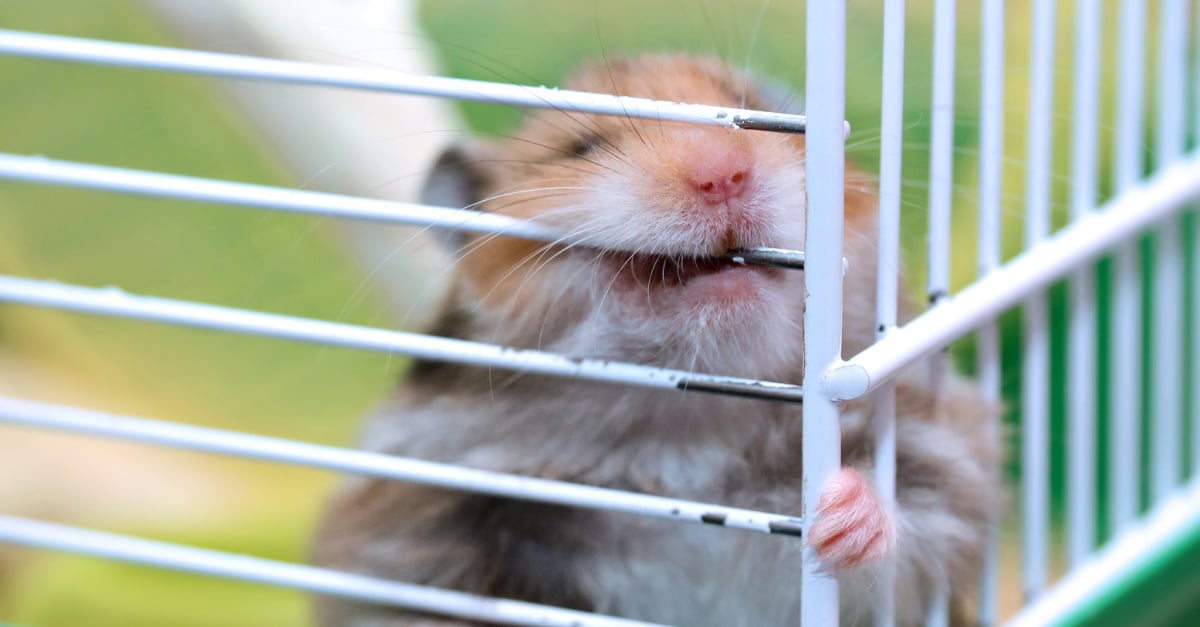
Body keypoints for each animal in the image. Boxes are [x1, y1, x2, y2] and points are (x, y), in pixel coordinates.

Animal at [313, 55, 999, 627]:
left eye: (754, 110)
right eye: (583, 148)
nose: (724, 174)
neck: (687, 430)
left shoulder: (943, 464)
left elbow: (913, 529)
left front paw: (834, 515)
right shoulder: (427, 536)